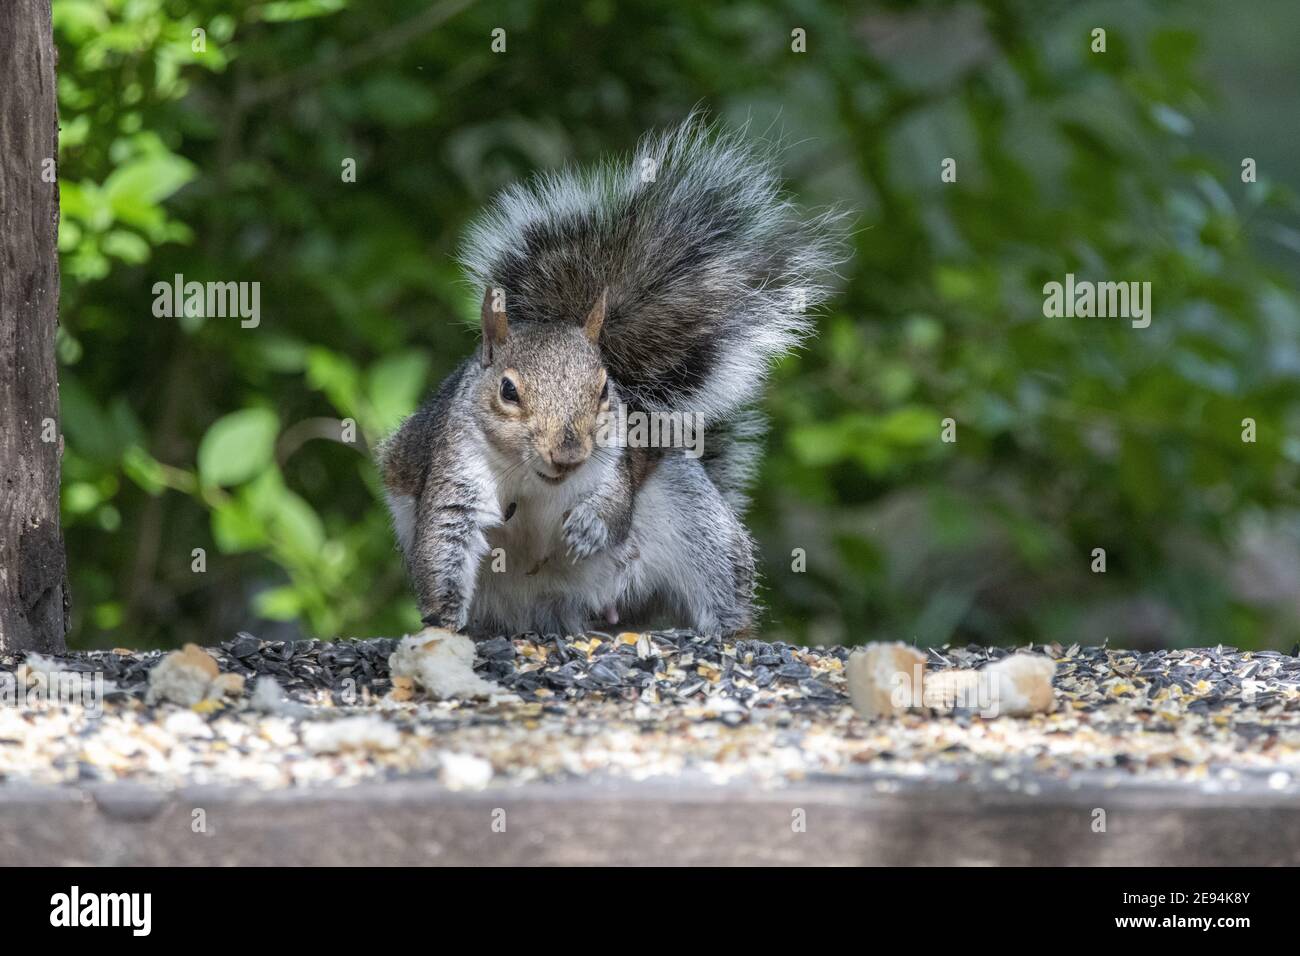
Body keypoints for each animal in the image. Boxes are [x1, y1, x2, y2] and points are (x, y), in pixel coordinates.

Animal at [378, 113, 846, 637]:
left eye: (604, 389)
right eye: (507, 390)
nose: (567, 453)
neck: (537, 482)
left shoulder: (616, 455)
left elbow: (615, 501)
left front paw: (590, 527)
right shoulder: (457, 466)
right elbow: (445, 537)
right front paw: (442, 623)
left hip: (698, 523)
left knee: (722, 584)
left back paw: (729, 631)